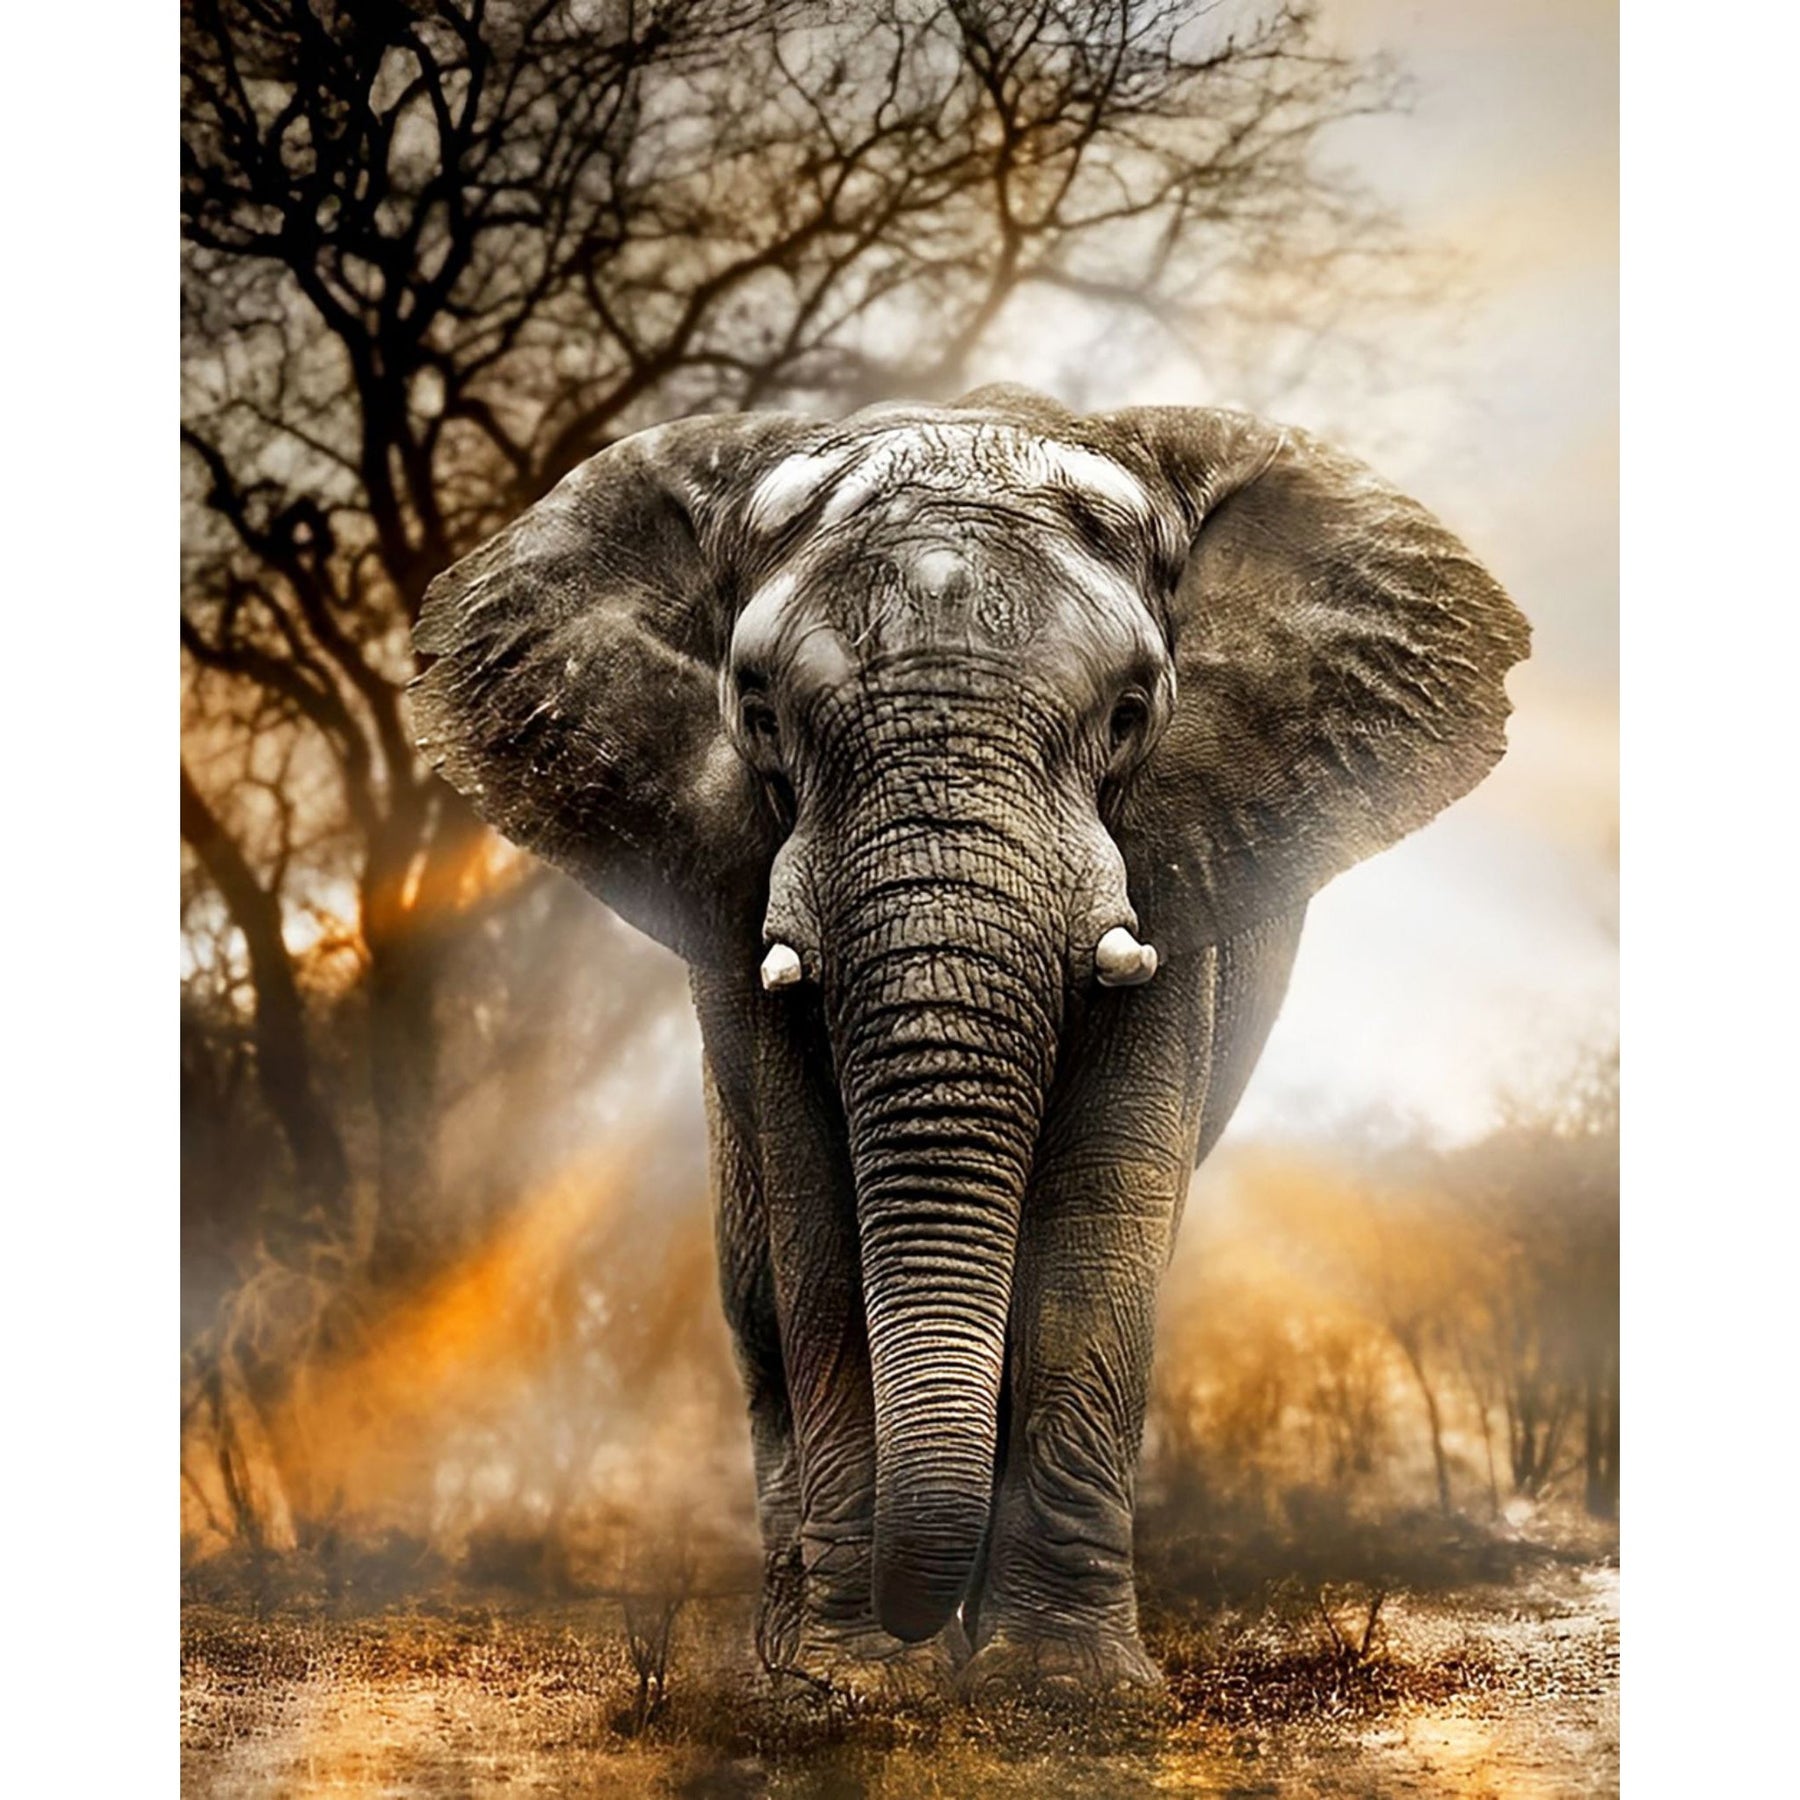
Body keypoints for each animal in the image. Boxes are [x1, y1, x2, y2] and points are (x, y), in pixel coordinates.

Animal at [409, 384, 1528, 1700]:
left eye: (1131, 714)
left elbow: (1101, 1211)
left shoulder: (1174, 862)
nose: (909, 1630)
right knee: (754, 1293)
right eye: (759, 715)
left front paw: (1061, 1690)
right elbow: (817, 1220)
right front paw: (850, 1689)